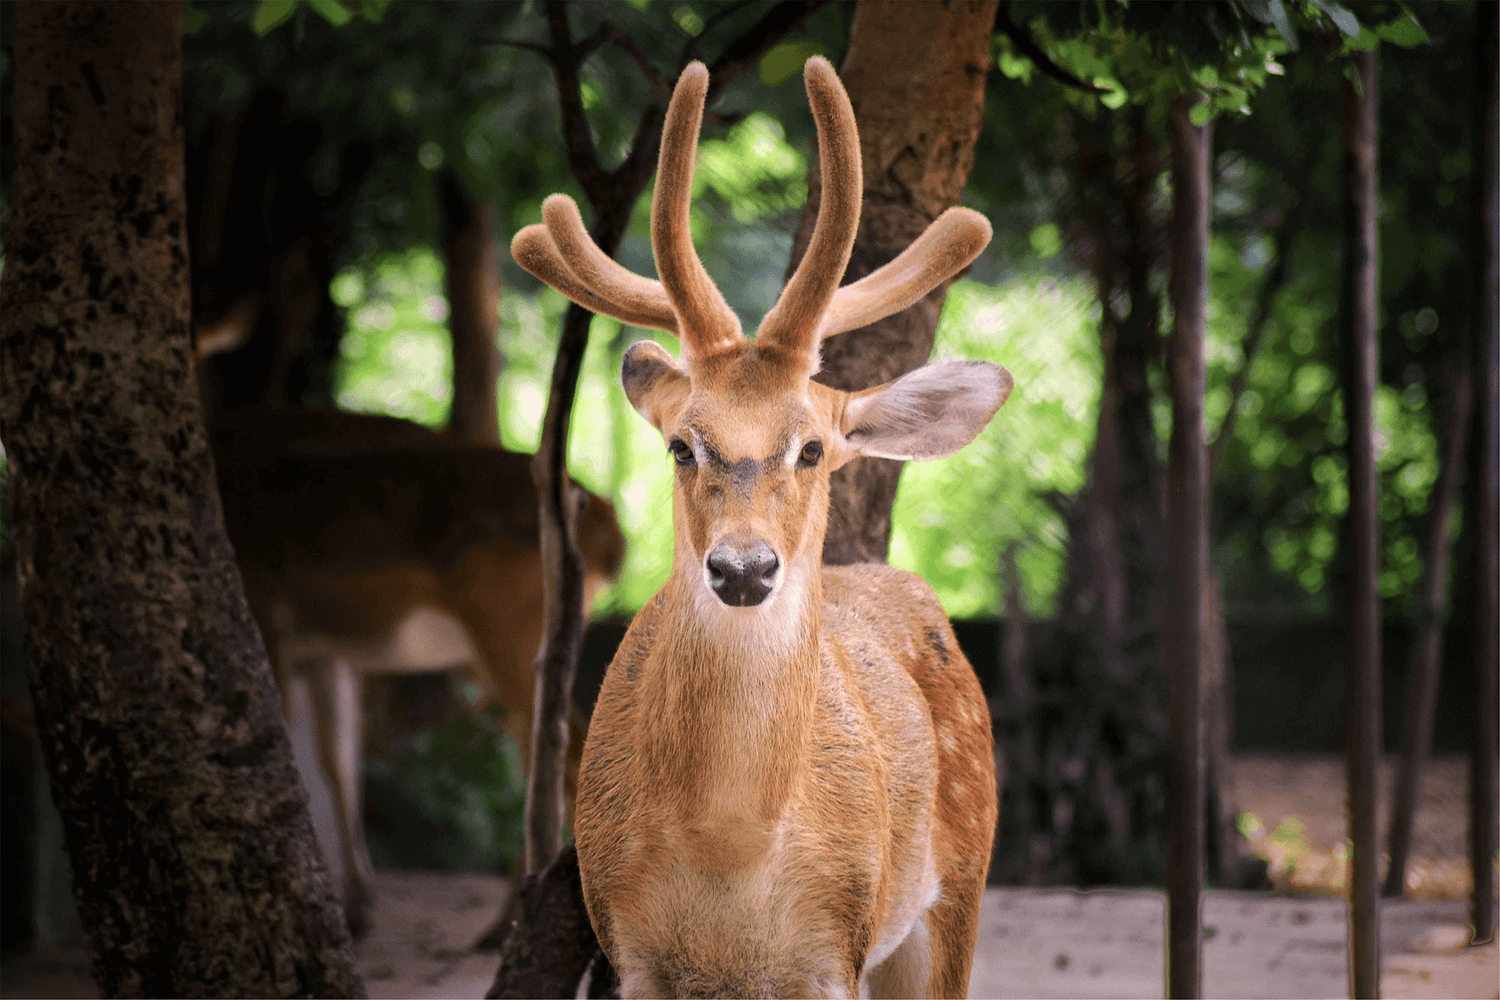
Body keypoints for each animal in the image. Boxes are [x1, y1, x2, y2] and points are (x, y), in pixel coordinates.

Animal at [208, 405, 625, 936]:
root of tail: (609, 531)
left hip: (511, 632)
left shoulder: (267, 616)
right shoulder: (325, 649)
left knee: (567, 756)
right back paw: (504, 923)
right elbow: (336, 758)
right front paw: (357, 904)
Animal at [510, 57, 1008, 998]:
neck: (727, 859)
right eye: (680, 445)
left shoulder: (835, 948)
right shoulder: (625, 942)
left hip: (961, 874)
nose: (743, 569)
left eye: (812, 448)